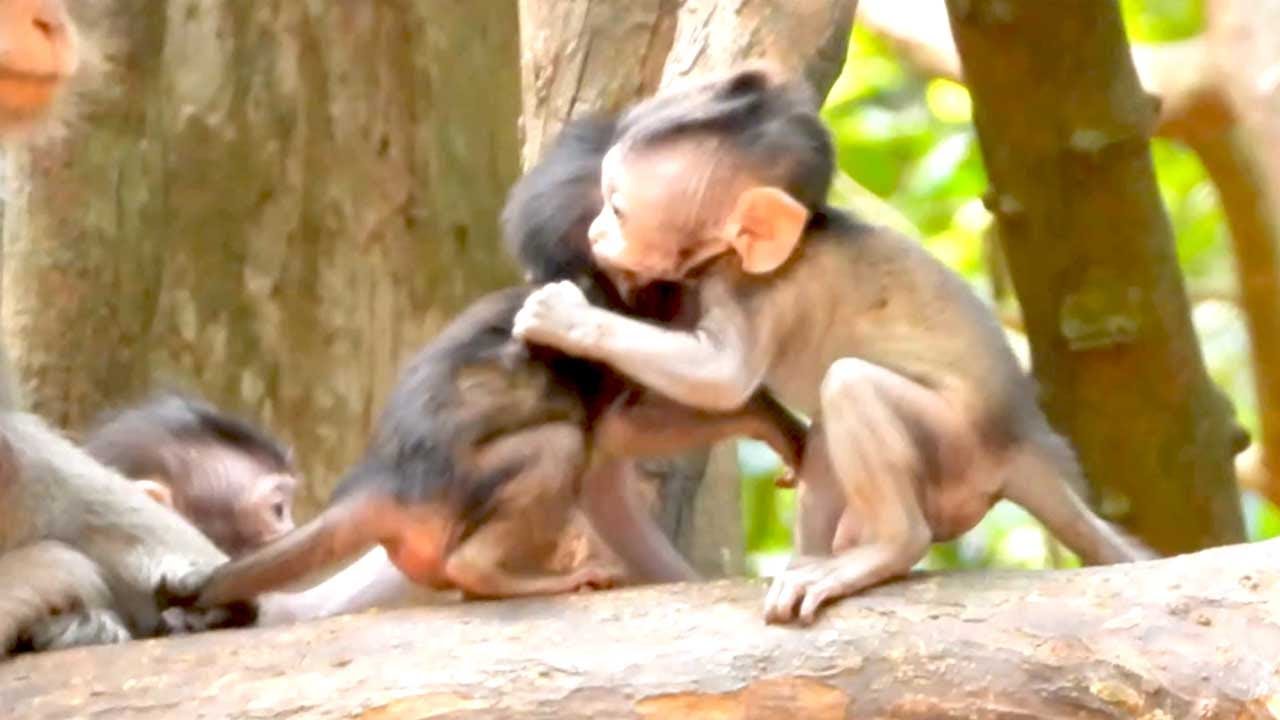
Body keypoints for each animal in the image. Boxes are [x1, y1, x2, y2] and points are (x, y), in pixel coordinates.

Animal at [187, 114, 809, 614]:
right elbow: (620, 424)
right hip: (452, 490)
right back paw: (496, 575)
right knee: (556, 443)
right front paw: (771, 419)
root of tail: (379, 480)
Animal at [513, 64, 1152, 626]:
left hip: (955, 445)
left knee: (849, 384)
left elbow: (723, 376)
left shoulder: (753, 294)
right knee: (825, 437)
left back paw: (883, 550)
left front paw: (565, 316)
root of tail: (1022, 439)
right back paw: (819, 552)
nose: (596, 232)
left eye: (618, 209)